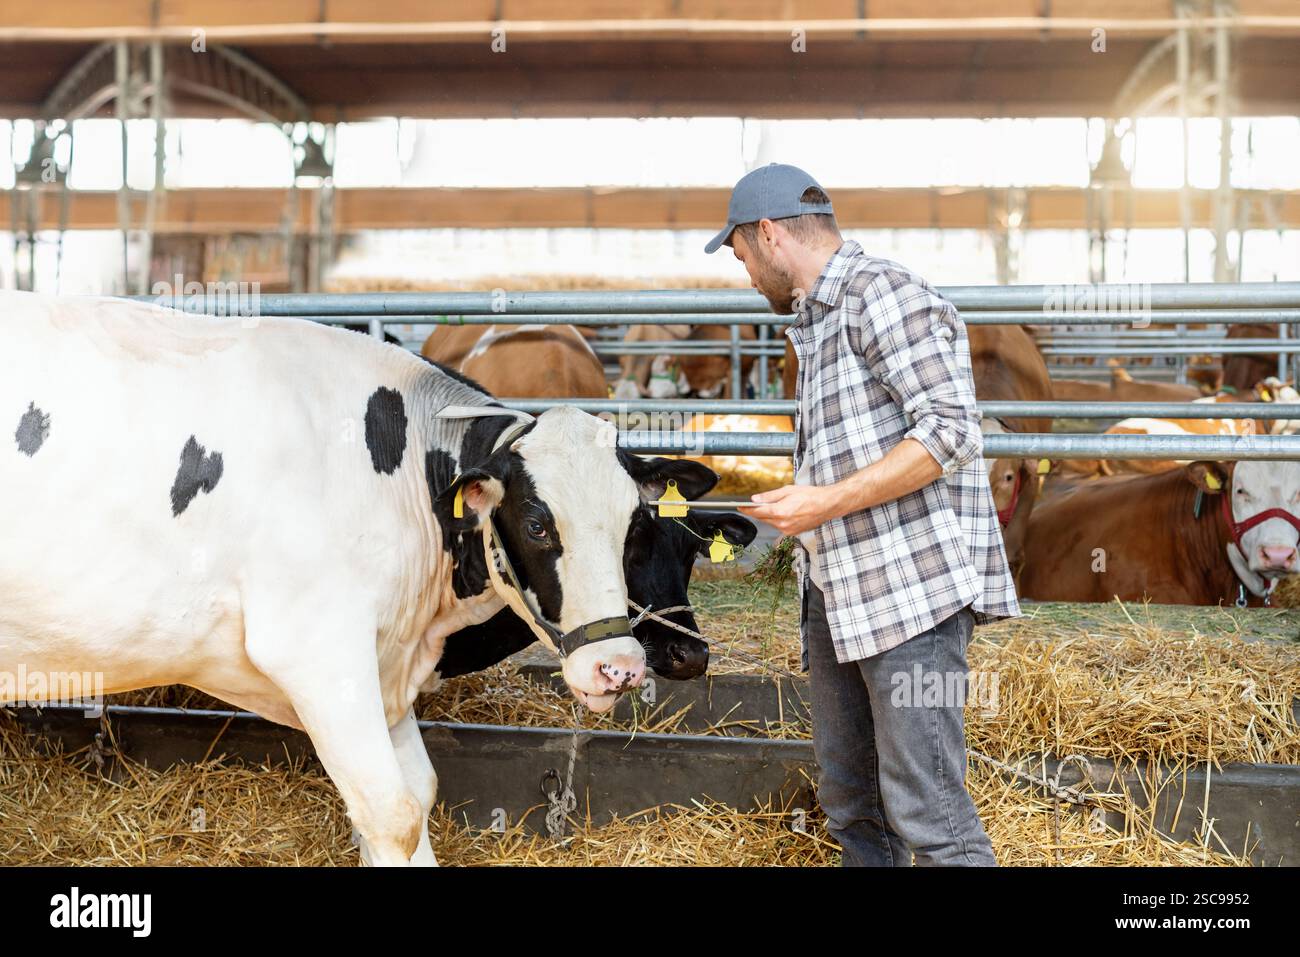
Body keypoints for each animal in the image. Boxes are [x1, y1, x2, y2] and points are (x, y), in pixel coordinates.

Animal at [0, 291, 714, 865]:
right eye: (537, 525)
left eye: (634, 525)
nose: (620, 667)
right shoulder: (318, 654)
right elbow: (391, 814)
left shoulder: (380, 658)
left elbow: (416, 796)